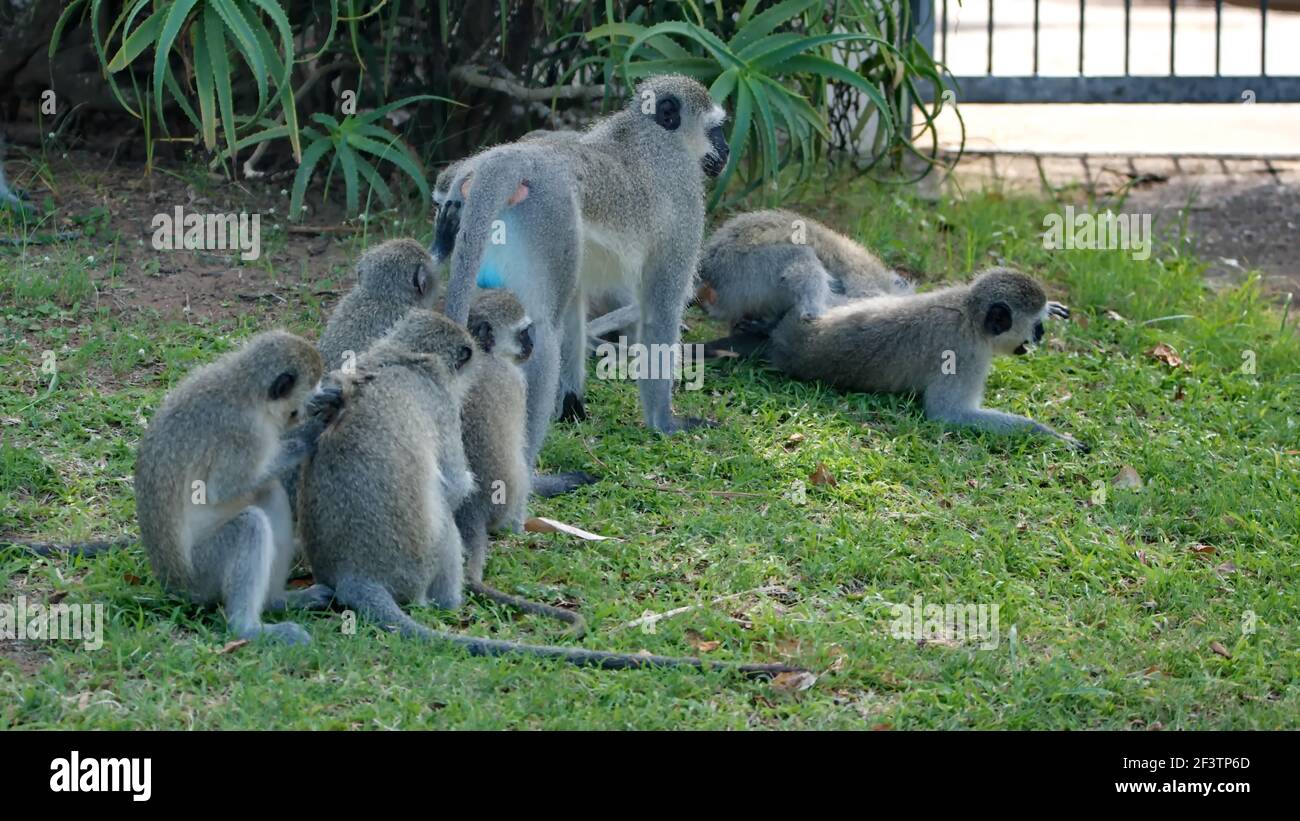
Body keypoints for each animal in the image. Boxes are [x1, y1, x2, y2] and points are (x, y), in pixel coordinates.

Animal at [133, 331, 343, 645]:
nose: (312, 403)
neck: (248, 391)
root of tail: (175, 587)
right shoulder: (243, 434)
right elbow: (223, 488)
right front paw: (308, 434)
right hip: (204, 572)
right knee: (249, 524)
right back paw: (247, 628)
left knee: (270, 493)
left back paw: (277, 601)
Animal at [439, 75, 729, 493]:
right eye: (716, 128)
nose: (726, 150)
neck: (646, 133)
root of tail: (509, 160)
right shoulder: (685, 197)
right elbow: (661, 309)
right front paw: (665, 423)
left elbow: (577, 308)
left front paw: (572, 408)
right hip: (551, 213)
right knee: (543, 334)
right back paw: (532, 482)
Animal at [738, 268, 1086, 451]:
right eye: (1036, 328)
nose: (1039, 337)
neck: (970, 314)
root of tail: (784, 340)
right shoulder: (964, 355)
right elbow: (948, 413)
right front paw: (1045, 433)